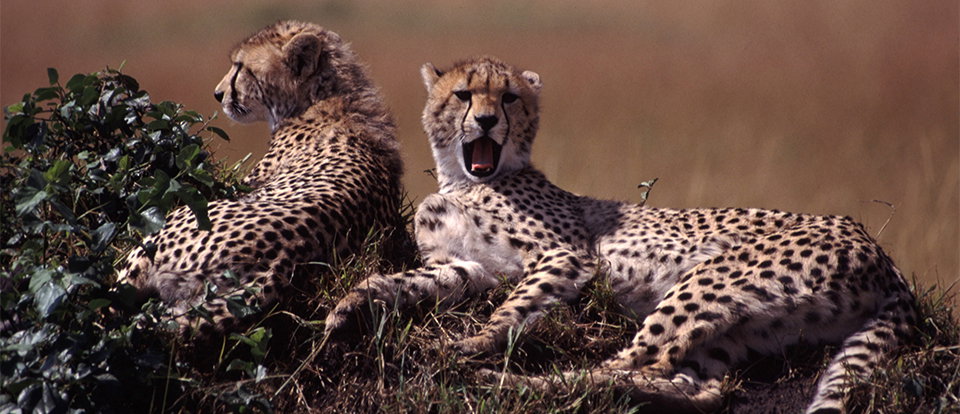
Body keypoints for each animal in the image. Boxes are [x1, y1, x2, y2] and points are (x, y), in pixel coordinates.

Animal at [324, 56, 917, 413]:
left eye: (509, 98)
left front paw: (473, 342)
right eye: (465, 94)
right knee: (698, 385)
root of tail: (880, 252)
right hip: (753, 325)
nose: (488, 121)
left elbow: (512, 307)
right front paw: (346, 309)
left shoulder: (564, 255)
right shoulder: (464, 267)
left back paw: (509, 382)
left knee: (631, 360)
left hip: (712, 279)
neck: (466, 180)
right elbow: (398, 281)